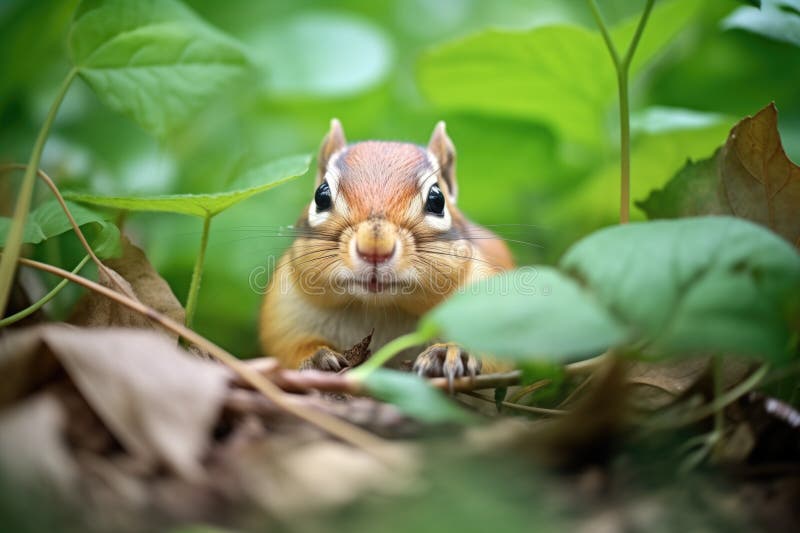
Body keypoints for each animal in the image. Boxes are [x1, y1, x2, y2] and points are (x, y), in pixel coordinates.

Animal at [259, 119, 514, 379]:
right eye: (321, 195)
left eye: (437, 199)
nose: (375, 249)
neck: (379, 310)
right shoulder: (285, 316)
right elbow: (288, 351)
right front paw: (316, 356)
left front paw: (450, 352)